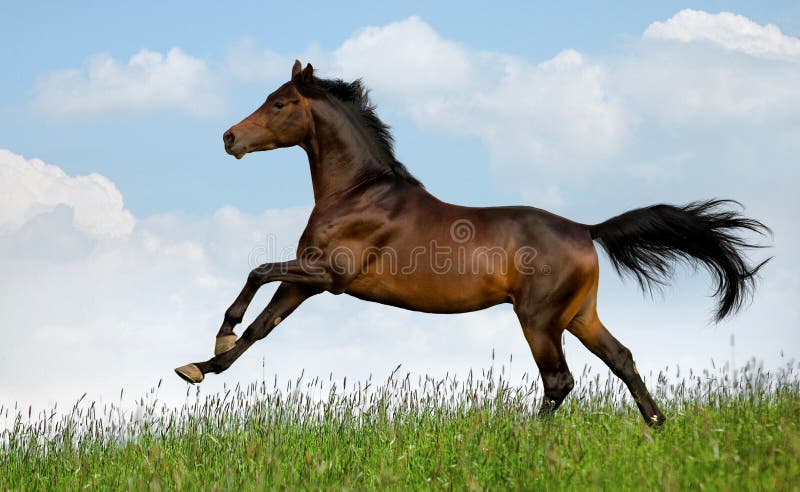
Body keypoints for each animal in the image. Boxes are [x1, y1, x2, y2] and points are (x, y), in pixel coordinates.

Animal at [175, 60, 769, 426]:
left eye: (279, 104)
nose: (229, 137)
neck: (359, 193)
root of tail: (586, 230)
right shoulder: (307, 280)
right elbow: (261, 328)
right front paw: (203, 366)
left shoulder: (329, 276)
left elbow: (255, 275)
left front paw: (216, 340)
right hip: (580, 315)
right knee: (621, 359)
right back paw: (658, 425)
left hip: (539, 319)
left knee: (559, 380)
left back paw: (528, 437)